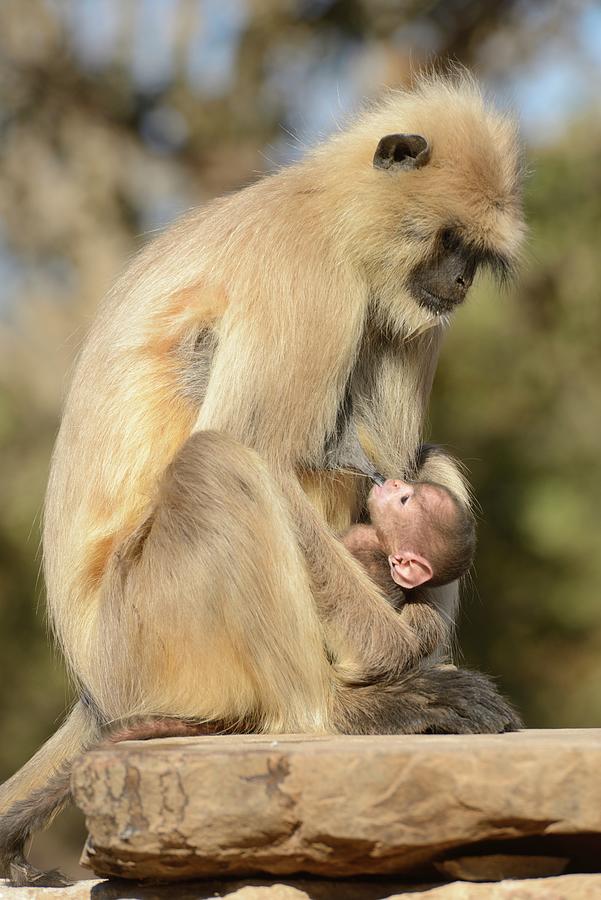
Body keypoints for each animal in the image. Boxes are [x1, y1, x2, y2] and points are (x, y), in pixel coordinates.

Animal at [0, 74, 525, 884]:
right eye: (448, 241)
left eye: (472, 253)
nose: (462, 278)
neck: (326, 209)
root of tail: (93, 689)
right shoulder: (307, 271)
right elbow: (262, 451)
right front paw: (397, 652)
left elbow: (397, 464)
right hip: (146, 639)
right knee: (222, 465)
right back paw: (343, 715)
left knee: (426, 459)